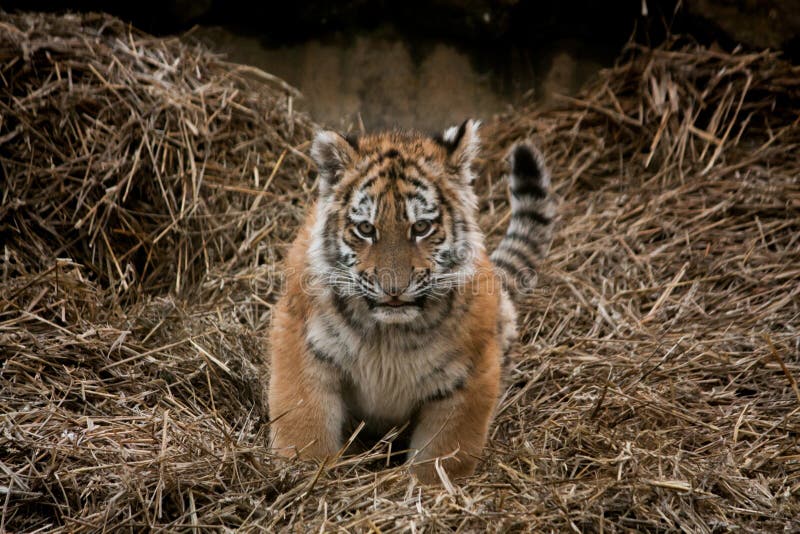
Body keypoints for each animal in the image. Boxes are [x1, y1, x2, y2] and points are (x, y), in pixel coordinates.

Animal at [267, 119, 556, 483]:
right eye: (365, 228)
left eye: (421, 227)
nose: (394, 289)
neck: (388, 334)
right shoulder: (301, 344)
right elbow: (305, 422)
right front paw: (304, 474)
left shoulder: (469, 375)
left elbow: (443, 451)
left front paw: (431, 487)